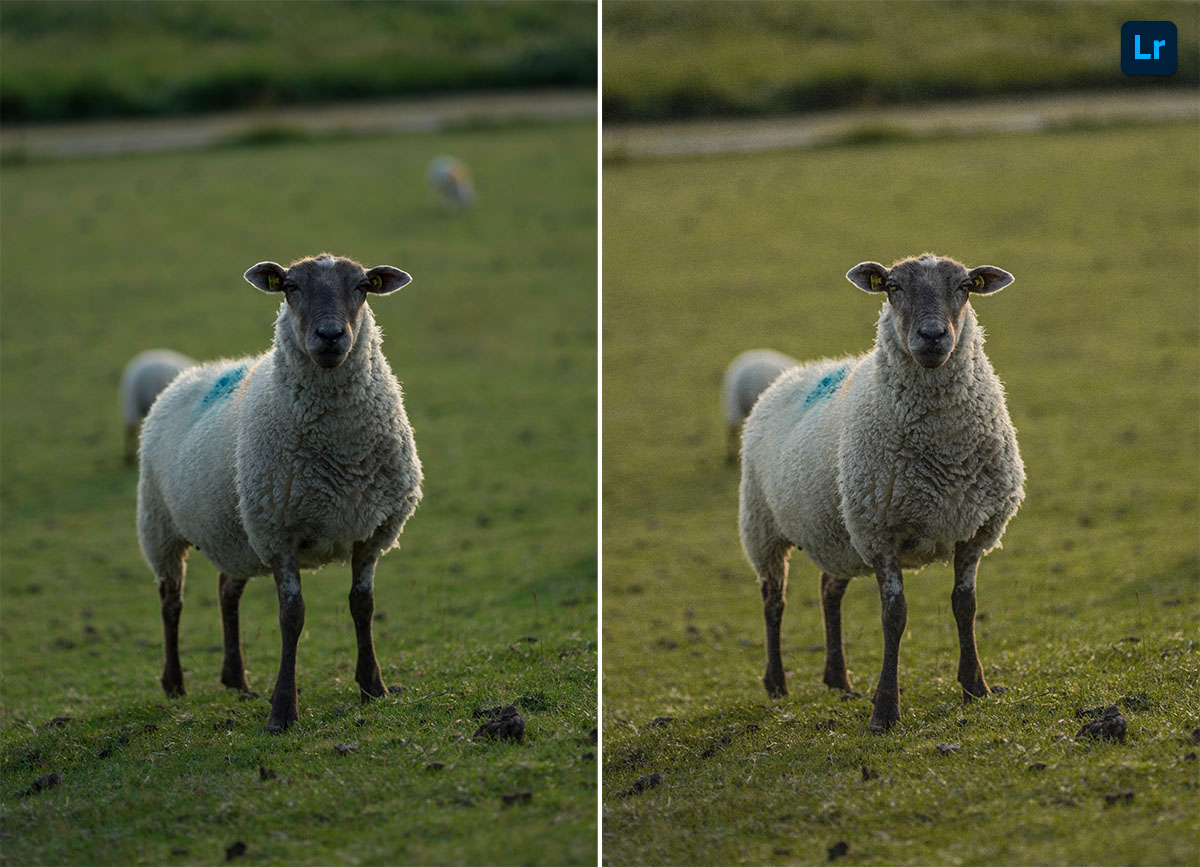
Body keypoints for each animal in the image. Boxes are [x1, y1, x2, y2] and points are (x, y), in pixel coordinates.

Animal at [137, 253, 423, 732]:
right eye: (290, 287)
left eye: (363, 286)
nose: (330, 336)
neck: (341, 458)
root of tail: (193, 373)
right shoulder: (279, 533)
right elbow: (292, 616)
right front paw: (283, 711)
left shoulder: (373, 530)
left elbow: (362, 605)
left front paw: (373, 686)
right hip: (161, 526)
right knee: (170, 601)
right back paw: (174, 683)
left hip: (235, 532)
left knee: (226, 591)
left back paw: (236, 679)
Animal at [738, 253, 1024, 732]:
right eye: (892, 287)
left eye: (965, 286)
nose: (933, 335)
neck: (945, 456)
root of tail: (795, 373)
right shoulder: (882, 532)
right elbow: (894, 616)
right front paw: (885, 711)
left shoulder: (974, 530)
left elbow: (964, 605)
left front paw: (975, 687)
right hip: (764, 526)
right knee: (773, 602)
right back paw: (776, 683)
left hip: (838, 531)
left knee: (828, 591)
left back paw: (838, 679)